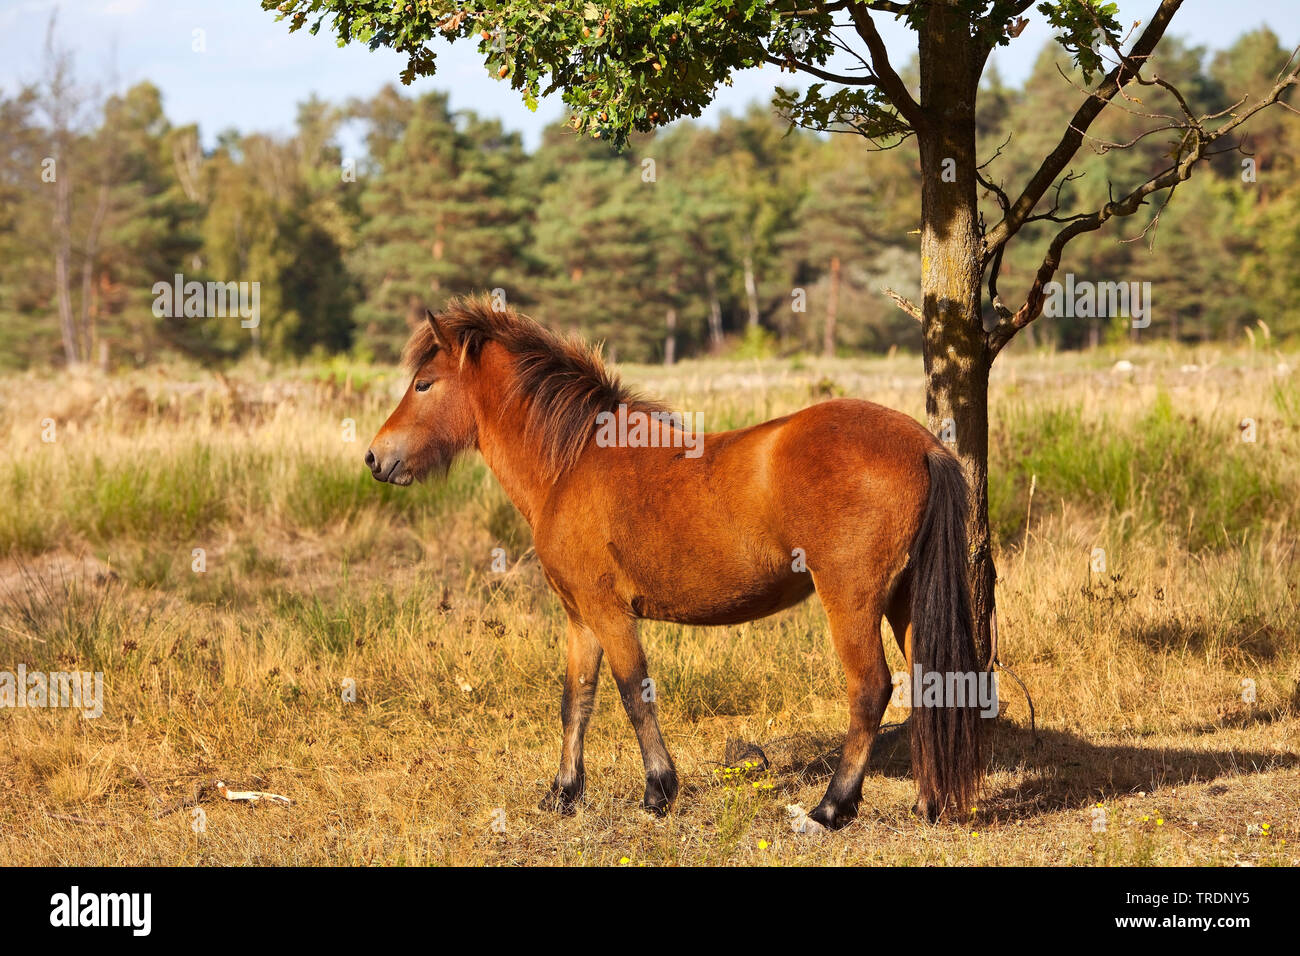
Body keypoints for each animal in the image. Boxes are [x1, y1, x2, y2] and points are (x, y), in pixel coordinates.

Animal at [366, 295, 984, 828]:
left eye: (423, 383)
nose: (375, 457)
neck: (572, 462)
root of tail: (923, 445)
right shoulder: (579, 617)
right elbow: (575, 701)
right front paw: (563, 793)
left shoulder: (608, 612)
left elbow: (633, 693)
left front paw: (658, 791)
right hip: (904, 599)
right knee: (929, 683)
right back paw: (930, 803)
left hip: (851, 600)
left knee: (871, 689)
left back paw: (832, 807)